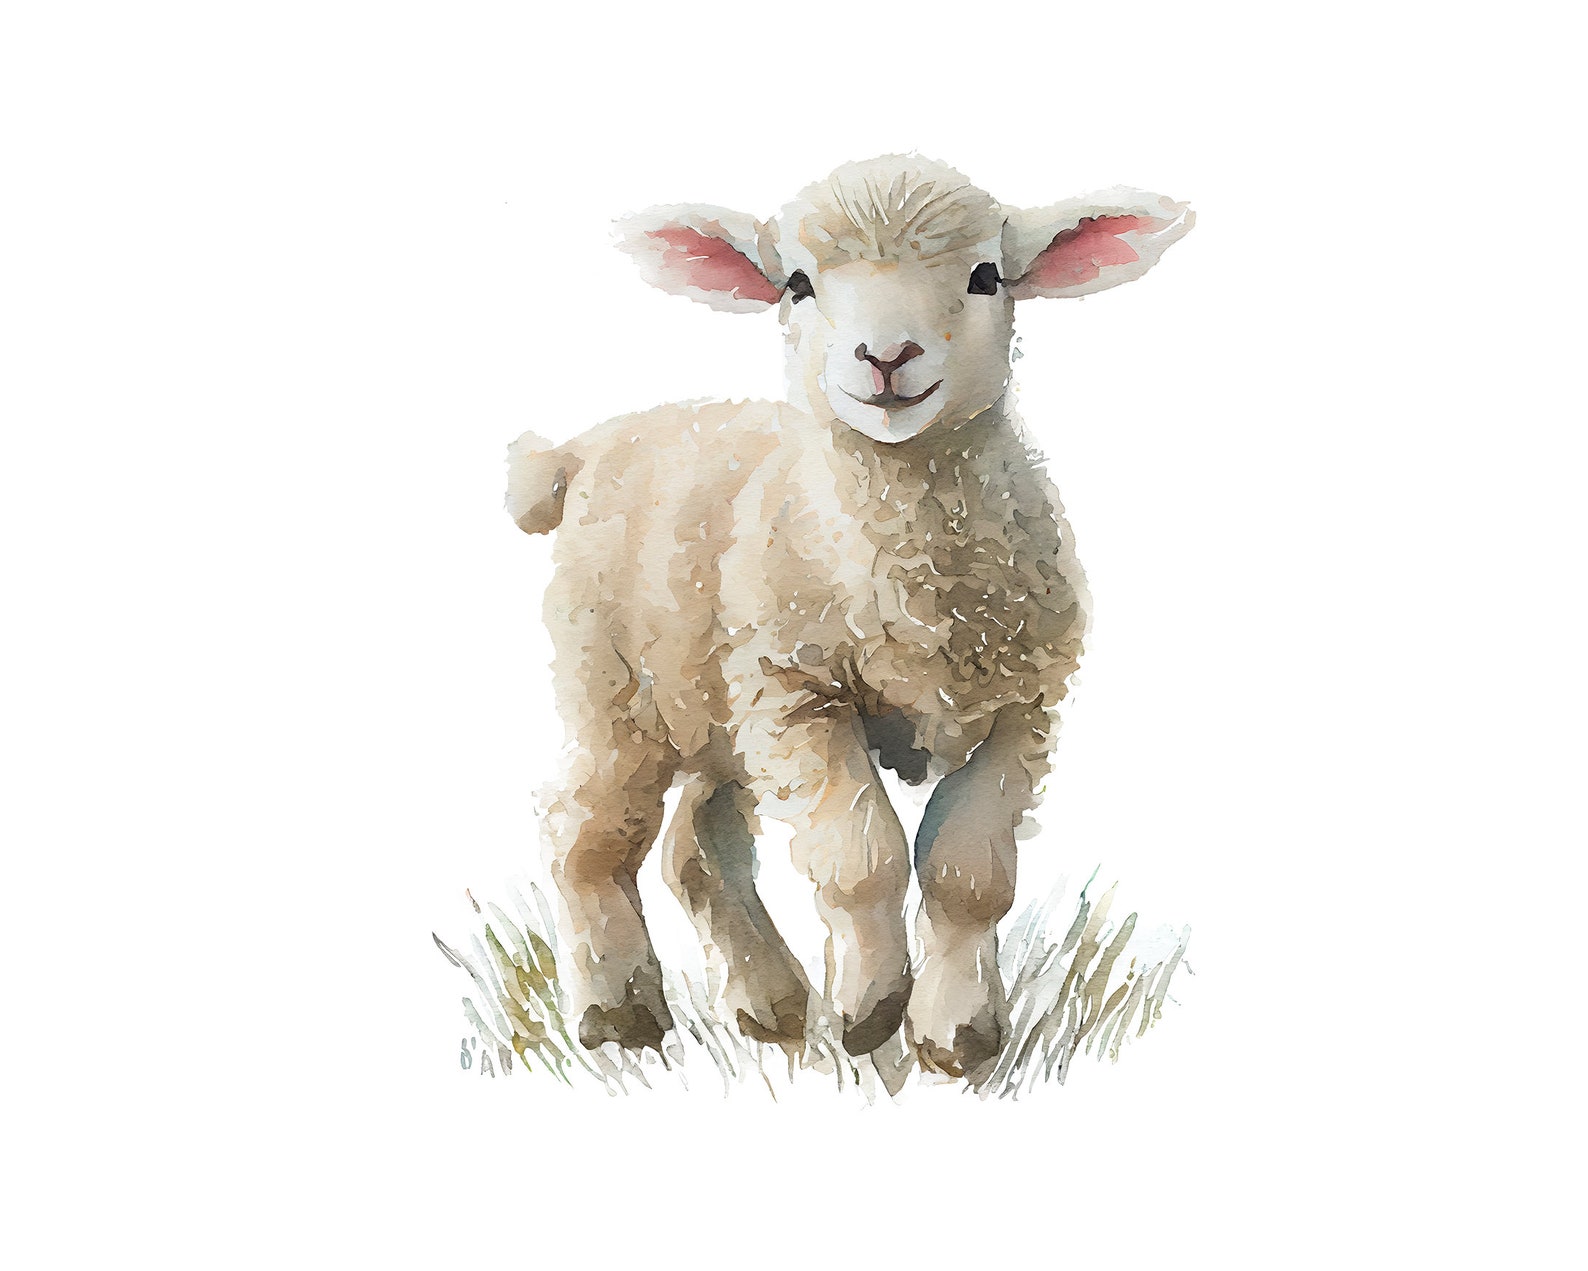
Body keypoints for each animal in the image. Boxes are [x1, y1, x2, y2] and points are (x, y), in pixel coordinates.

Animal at [506, 155, 1192, 1079]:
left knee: (698, 848)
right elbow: (862, 857)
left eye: (986, 276)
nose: (886, 358)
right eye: (796, 284)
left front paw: (956, 1032)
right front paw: (869, 1009)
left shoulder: (1022, 711)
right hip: (615, 688)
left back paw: (771, 1007)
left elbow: (969, 873)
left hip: (721, 710)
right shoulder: (800, 694)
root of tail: (579, 452)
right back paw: (617, 1010)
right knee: (584, 830)